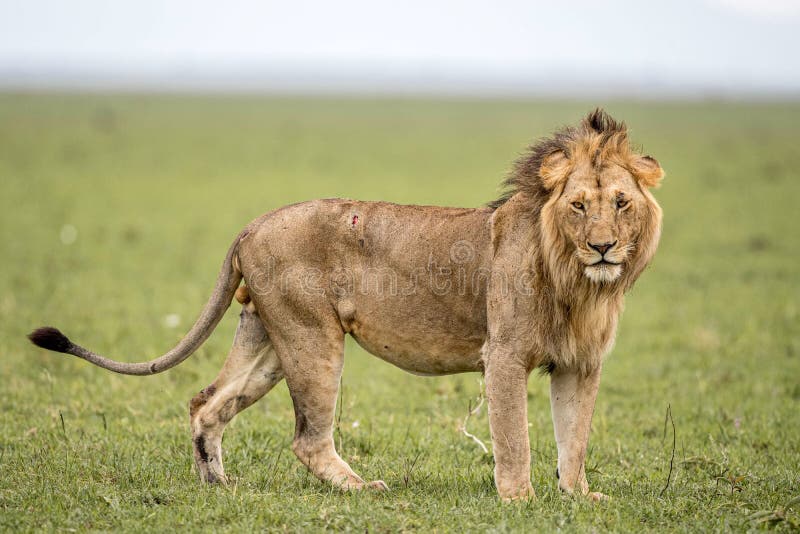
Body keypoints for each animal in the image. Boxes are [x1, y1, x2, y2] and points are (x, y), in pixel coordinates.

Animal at [29, 109, 663, 501]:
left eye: (621, 202)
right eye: (579, 206)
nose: (603, 246)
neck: (579, 283)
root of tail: (250, 225)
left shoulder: (581, 364)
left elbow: (574, 437)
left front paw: (580, 495)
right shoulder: (503, 356)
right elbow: (516, 437)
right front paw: (520, 499)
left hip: (269, 337)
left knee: (207, 403)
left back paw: (218, 486)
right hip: (313, 338)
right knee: (308, 438)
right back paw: (361, 488)